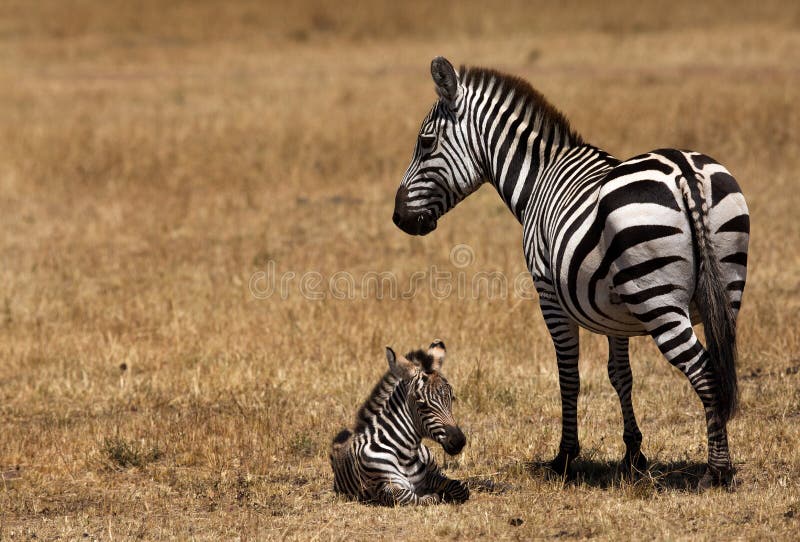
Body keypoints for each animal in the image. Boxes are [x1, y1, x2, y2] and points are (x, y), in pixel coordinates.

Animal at [330, 340, 470, 505]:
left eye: (452, 398)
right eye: (421, 404)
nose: (459, 440)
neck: (405, 456)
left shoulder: (430, 476)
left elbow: (460, 487)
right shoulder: (385, 487)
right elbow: (413, 498)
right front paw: (434, 495)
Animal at [392, 57, 749, 489]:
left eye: (426, 142)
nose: (398, 217)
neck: (538, 178)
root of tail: (684, 172)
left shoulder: (548, 293)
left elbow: (568, 375)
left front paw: (564, 457)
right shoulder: (614, 311)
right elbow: (620, 374)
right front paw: (634, 455)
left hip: (659, 300)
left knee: (706, 374)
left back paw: (718, 471)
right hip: (725, 291)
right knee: (722, 368)